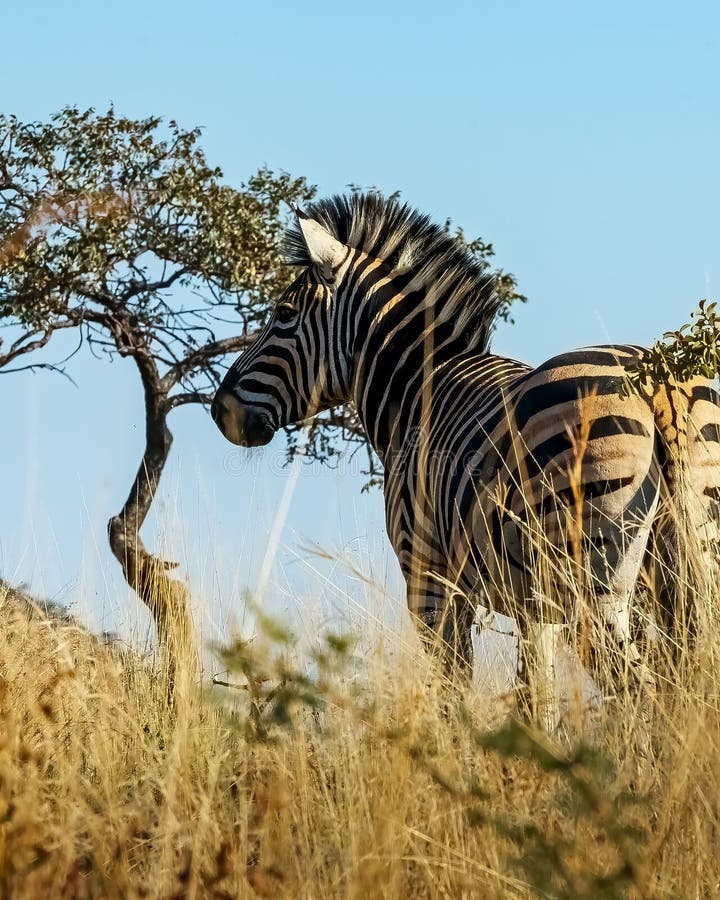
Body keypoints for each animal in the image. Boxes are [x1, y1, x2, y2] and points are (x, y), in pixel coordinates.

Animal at [211, 192, 720, 727]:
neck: (419, 388)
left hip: (592, 577)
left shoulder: (428, 575)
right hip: (685, 561)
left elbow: (451, 693)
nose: (219, 410)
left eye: (284, 314)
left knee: (638, 690)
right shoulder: (533, 605)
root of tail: (656, 382)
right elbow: (535, 699)